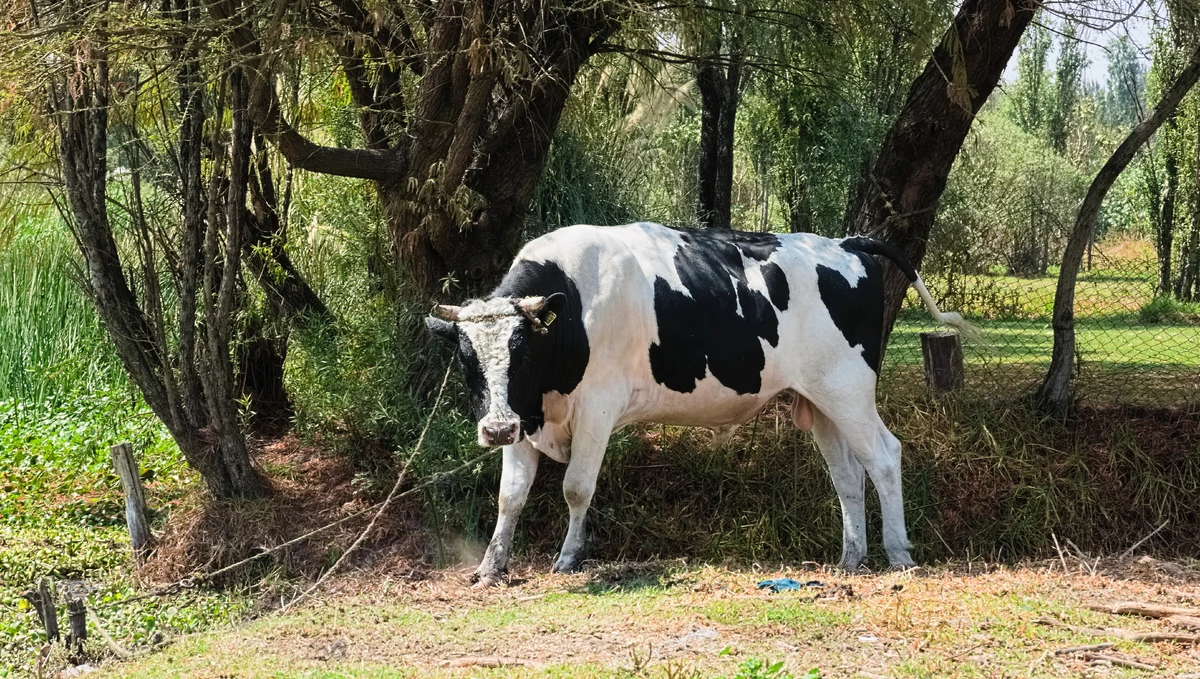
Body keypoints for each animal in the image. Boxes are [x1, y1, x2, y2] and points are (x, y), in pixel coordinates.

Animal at [425, 222, 973, 585]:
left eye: (522, 353)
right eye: (467, 359)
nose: (494, 430)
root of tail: (845, 243)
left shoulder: (597, 406)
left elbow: (576, 488)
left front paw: (569, 558)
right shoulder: (525, 416)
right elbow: (510, 496)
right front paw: (491, 566)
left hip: (850, 391)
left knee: (883, 456)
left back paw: (898, 552)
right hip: (820, 401)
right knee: (847, 475)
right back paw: (850, 559)